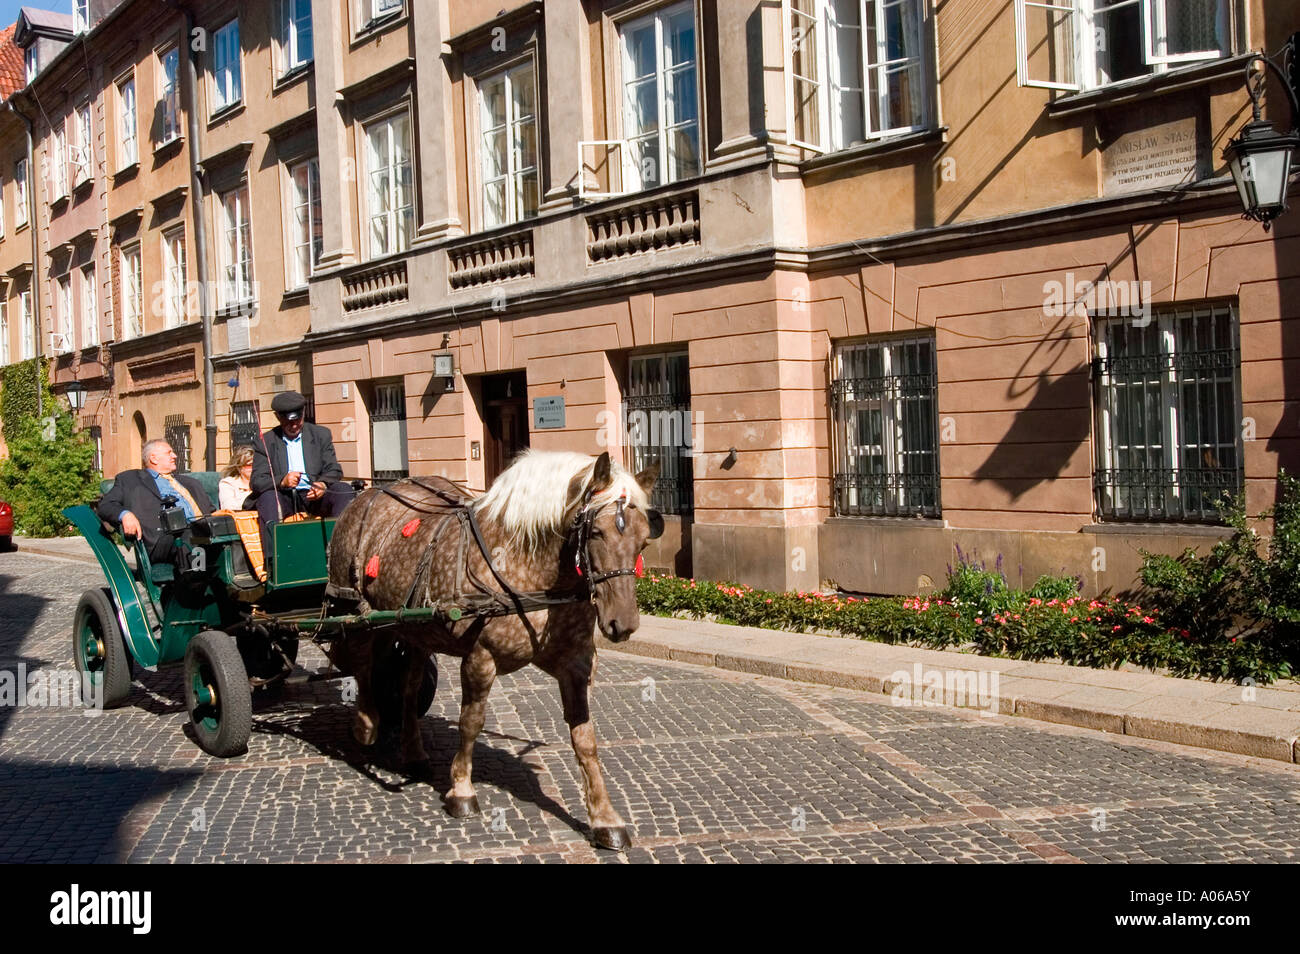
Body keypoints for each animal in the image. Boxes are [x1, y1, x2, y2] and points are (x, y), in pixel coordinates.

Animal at [325, 450, 661, 850]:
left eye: (643, 541)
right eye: (596, 533)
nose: (622, 624)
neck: (532, 568)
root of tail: (364, 495)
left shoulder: (575, 664)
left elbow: (585, 739)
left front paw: (604, 818)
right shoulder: (480, 658)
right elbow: (471, 722)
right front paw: (462, 790)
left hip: (418, 629)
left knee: (408, 686)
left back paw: (414, 751)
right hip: (354, 609)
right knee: (362, 665)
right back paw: (365, 725)